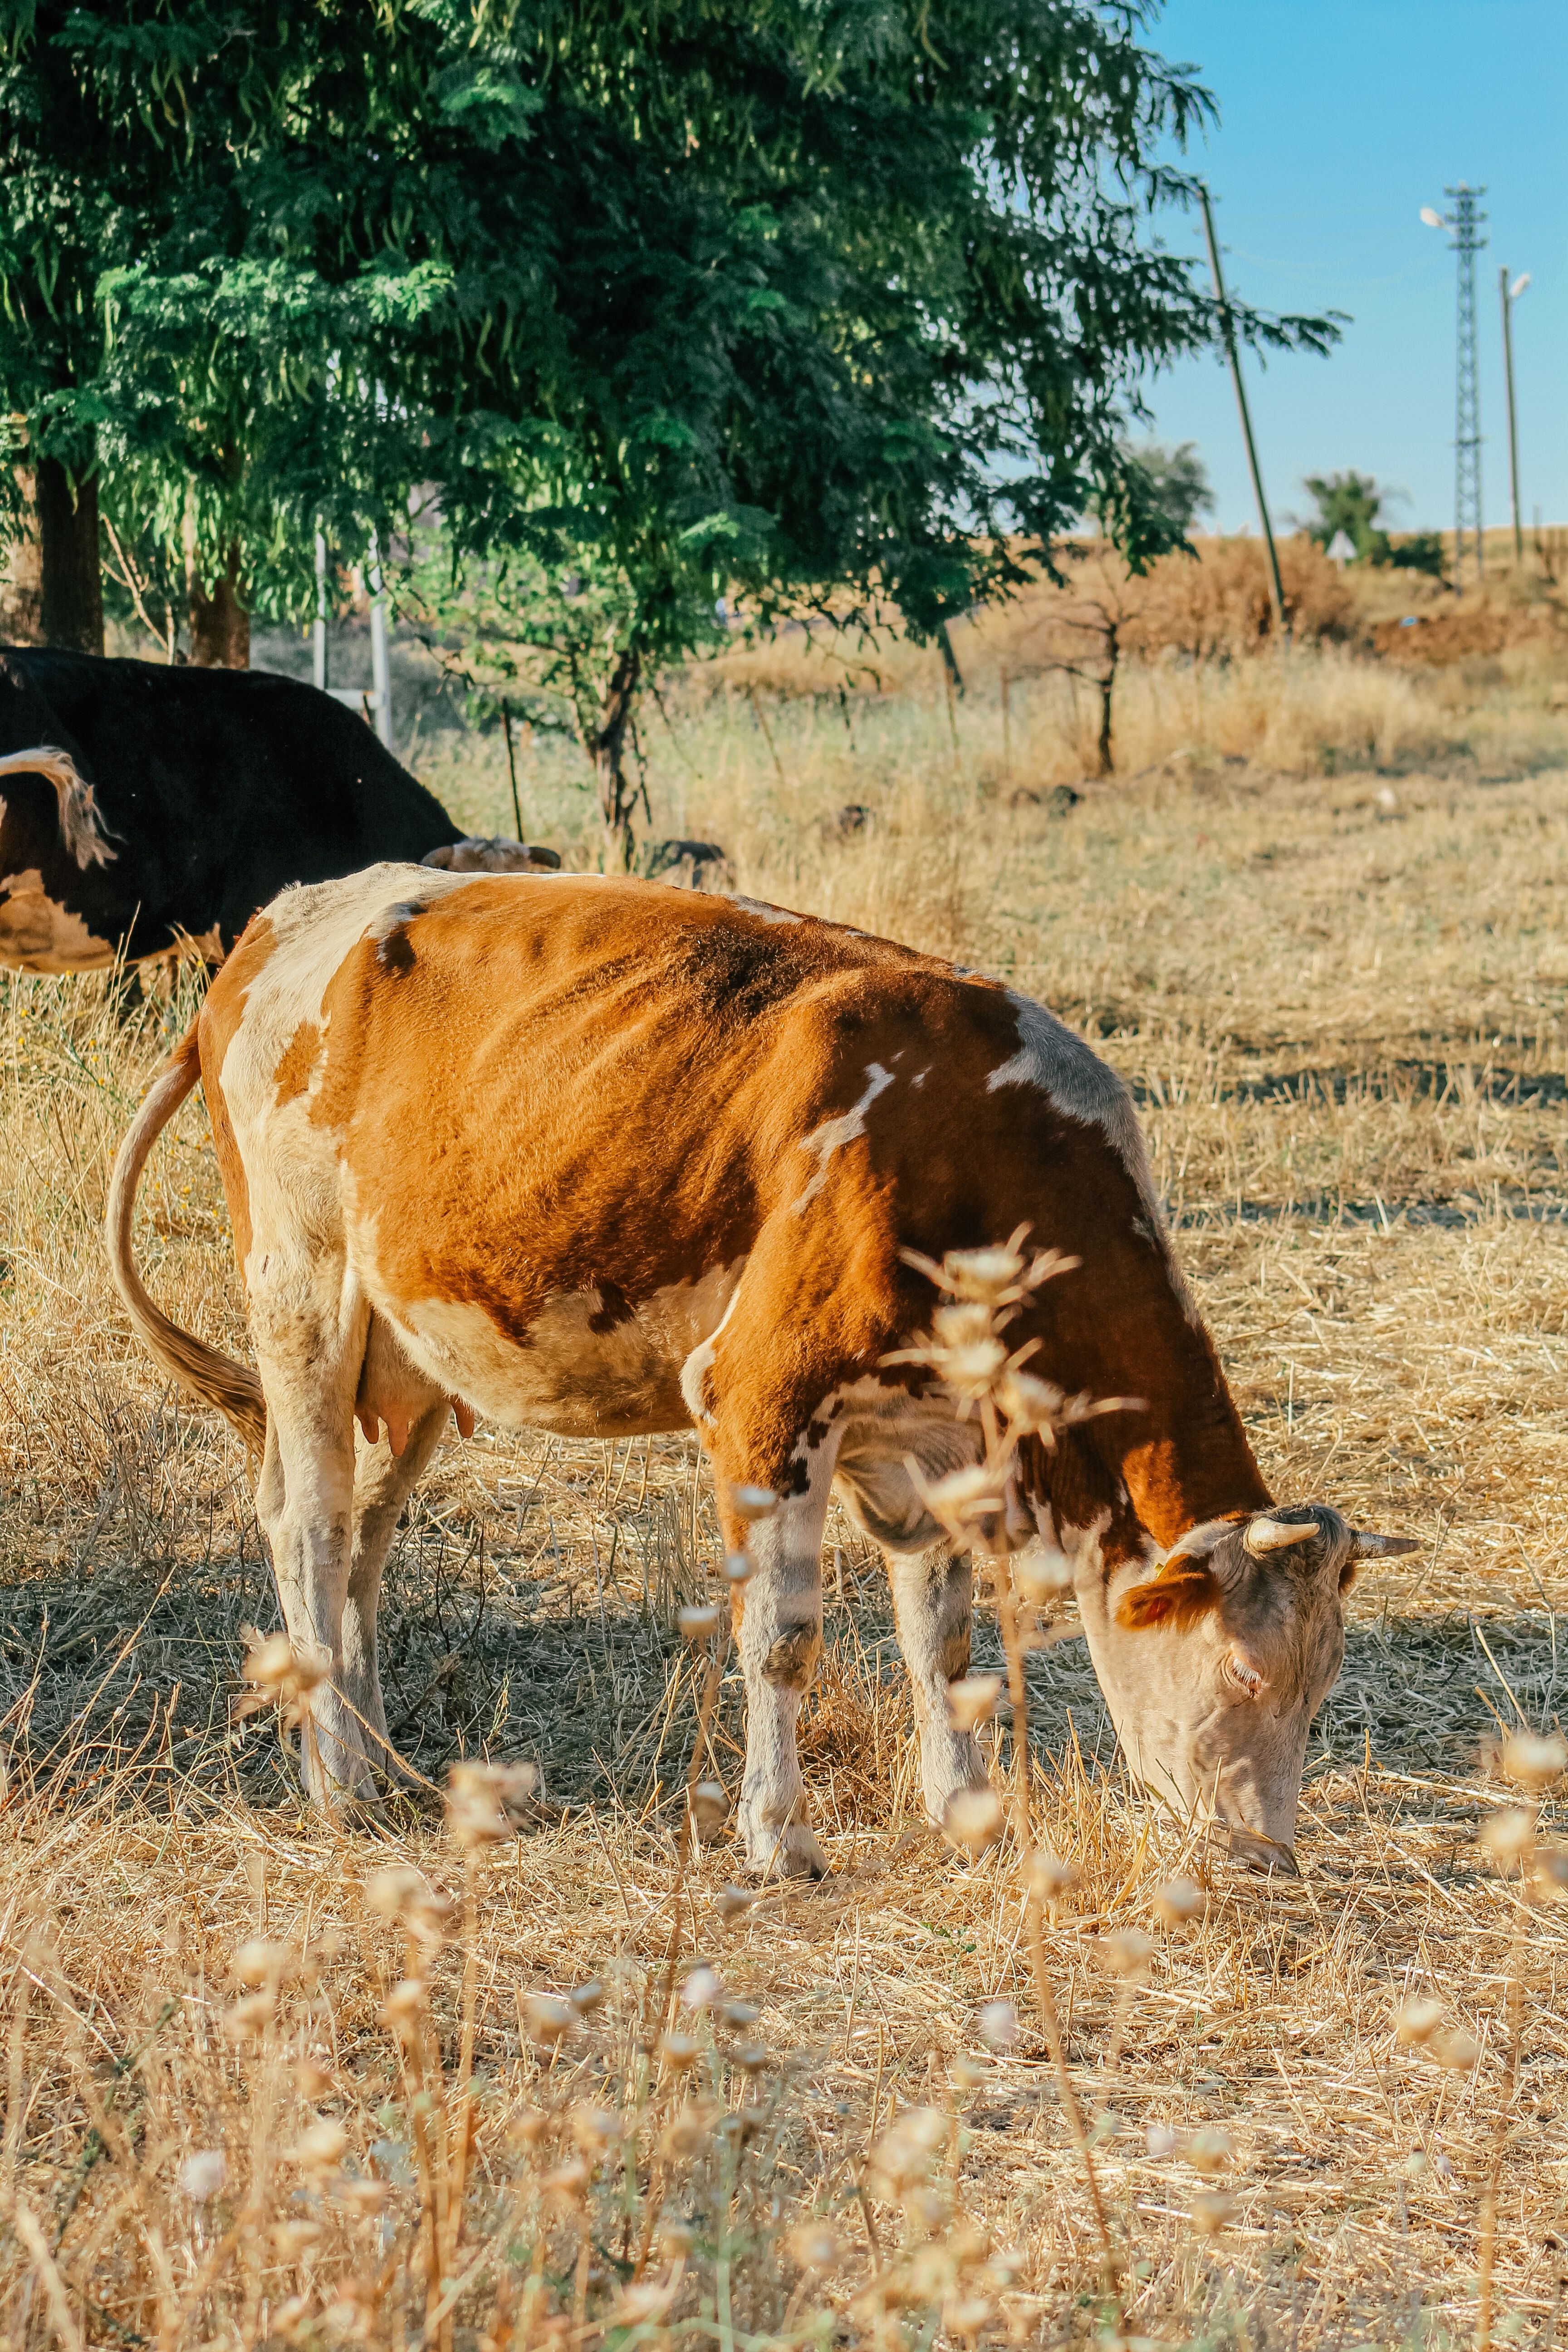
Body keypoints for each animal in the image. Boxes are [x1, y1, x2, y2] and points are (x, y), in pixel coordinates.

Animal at [105, 867, 1414, 1875]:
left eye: (1324, 1689)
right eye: (1242, 1675)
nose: (1267, 1854)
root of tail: (275, 922)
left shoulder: (928, 1443)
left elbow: (942, 1643)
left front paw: (965, 1813)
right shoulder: (761, 1398)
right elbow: (781, 1639)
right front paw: (778, 1836)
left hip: (411, 1351)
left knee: (367, 1538)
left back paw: (375, 1757)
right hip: (302, 1291)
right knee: (310, 1525)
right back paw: (339, 1782)